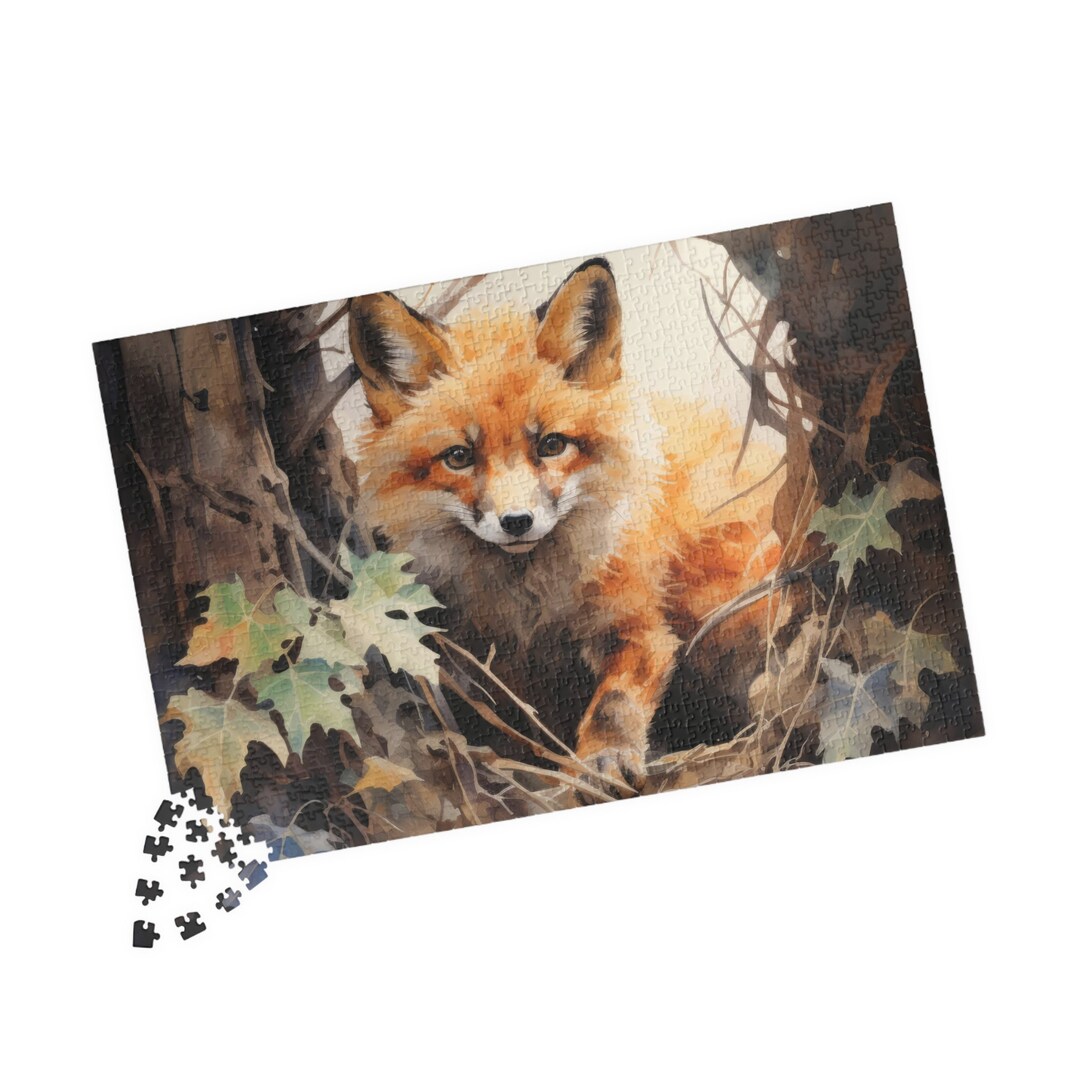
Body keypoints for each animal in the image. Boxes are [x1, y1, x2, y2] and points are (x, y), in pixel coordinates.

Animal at [348, 258, 784, 787]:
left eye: (552, 445)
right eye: (458, 457)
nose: (517, 521)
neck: (531, 603)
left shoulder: (638, 626)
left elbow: (614, 702)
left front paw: (606, 757)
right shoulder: (488, 666)